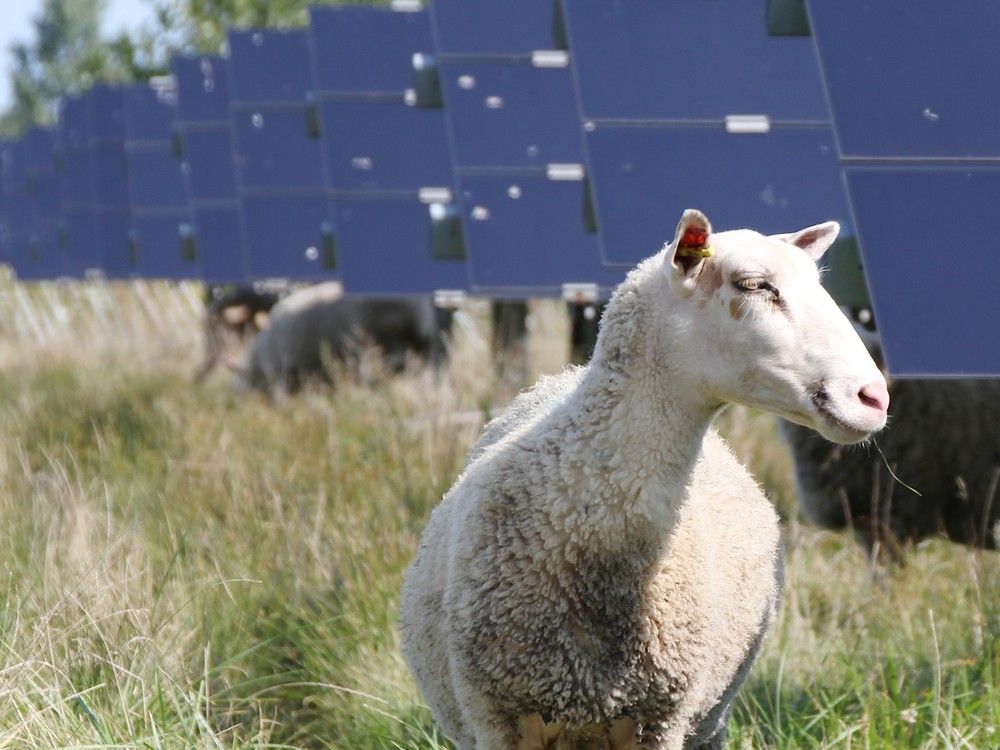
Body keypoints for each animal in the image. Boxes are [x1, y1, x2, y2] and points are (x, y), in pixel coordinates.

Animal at [400, 209, 889, 749]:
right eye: (753, 285)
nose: (873, 397)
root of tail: (562, 374)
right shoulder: (495, 717)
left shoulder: (662, 719)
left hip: (709, 722)